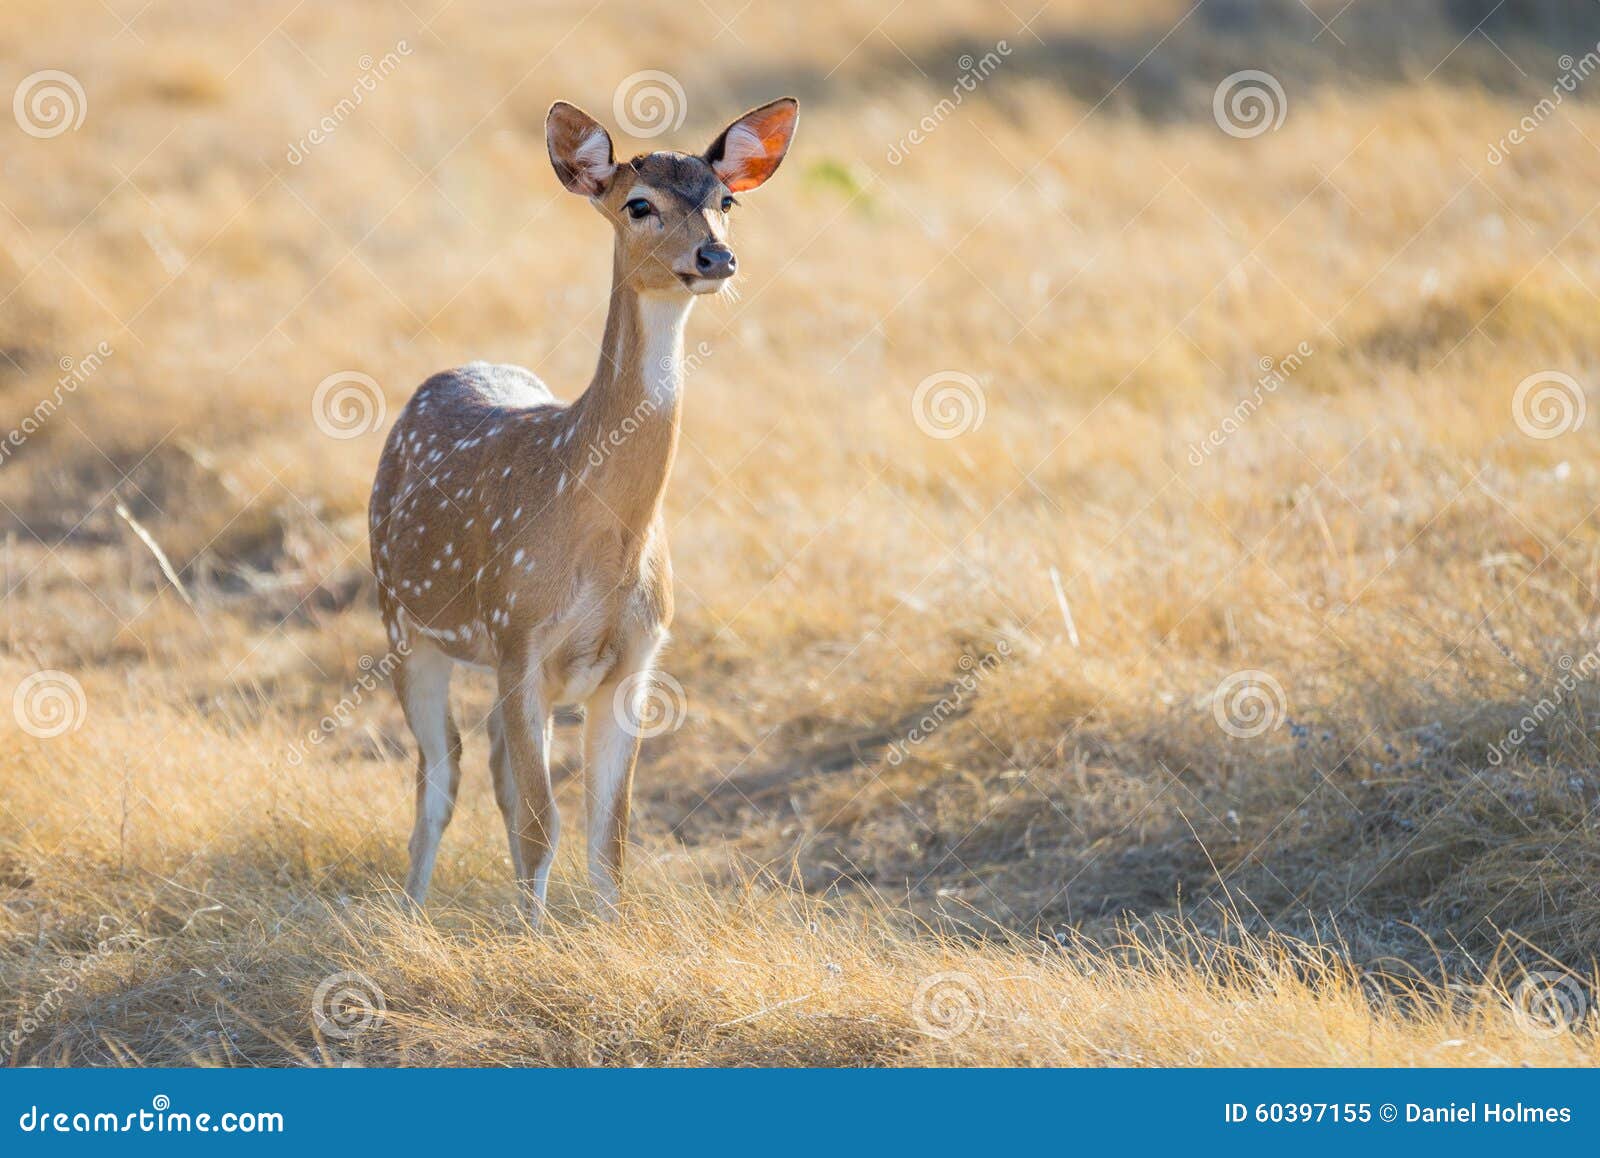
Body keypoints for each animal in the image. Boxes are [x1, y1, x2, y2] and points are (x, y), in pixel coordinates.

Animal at [368, 96, 799, 926]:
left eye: (725, 202)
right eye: (639, 204)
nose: (715, 259)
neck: (604, 545)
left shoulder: (635, 661)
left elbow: (609, 838)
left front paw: (607, 935)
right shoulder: (519, 635)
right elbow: (545, 823)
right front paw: (532, 941)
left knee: (492, 764)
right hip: (403, 620)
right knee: (442, 773)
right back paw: (409, 911)